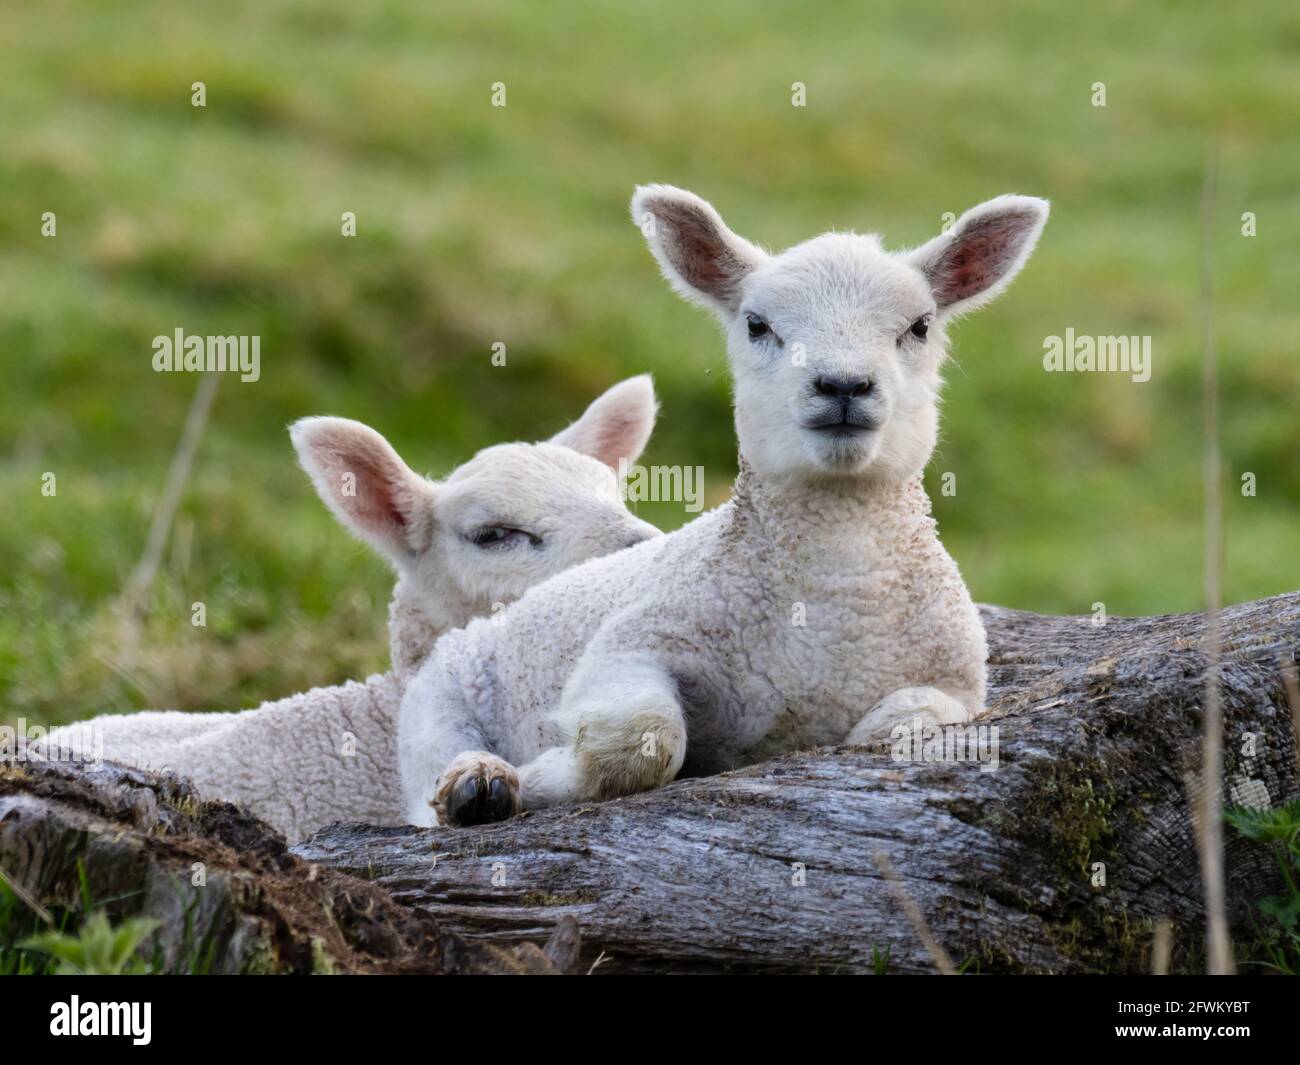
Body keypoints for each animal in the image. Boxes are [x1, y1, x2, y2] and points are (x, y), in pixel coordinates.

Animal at [398, 185, 1049, 826]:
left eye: (919, 326)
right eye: (757, 324)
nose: (843, 386)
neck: (833, 601)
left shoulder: (956, 681)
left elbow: (901, 725)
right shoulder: (633, 642)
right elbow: (641, 742)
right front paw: (537, 778)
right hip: (436, 694)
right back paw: (476, 783)